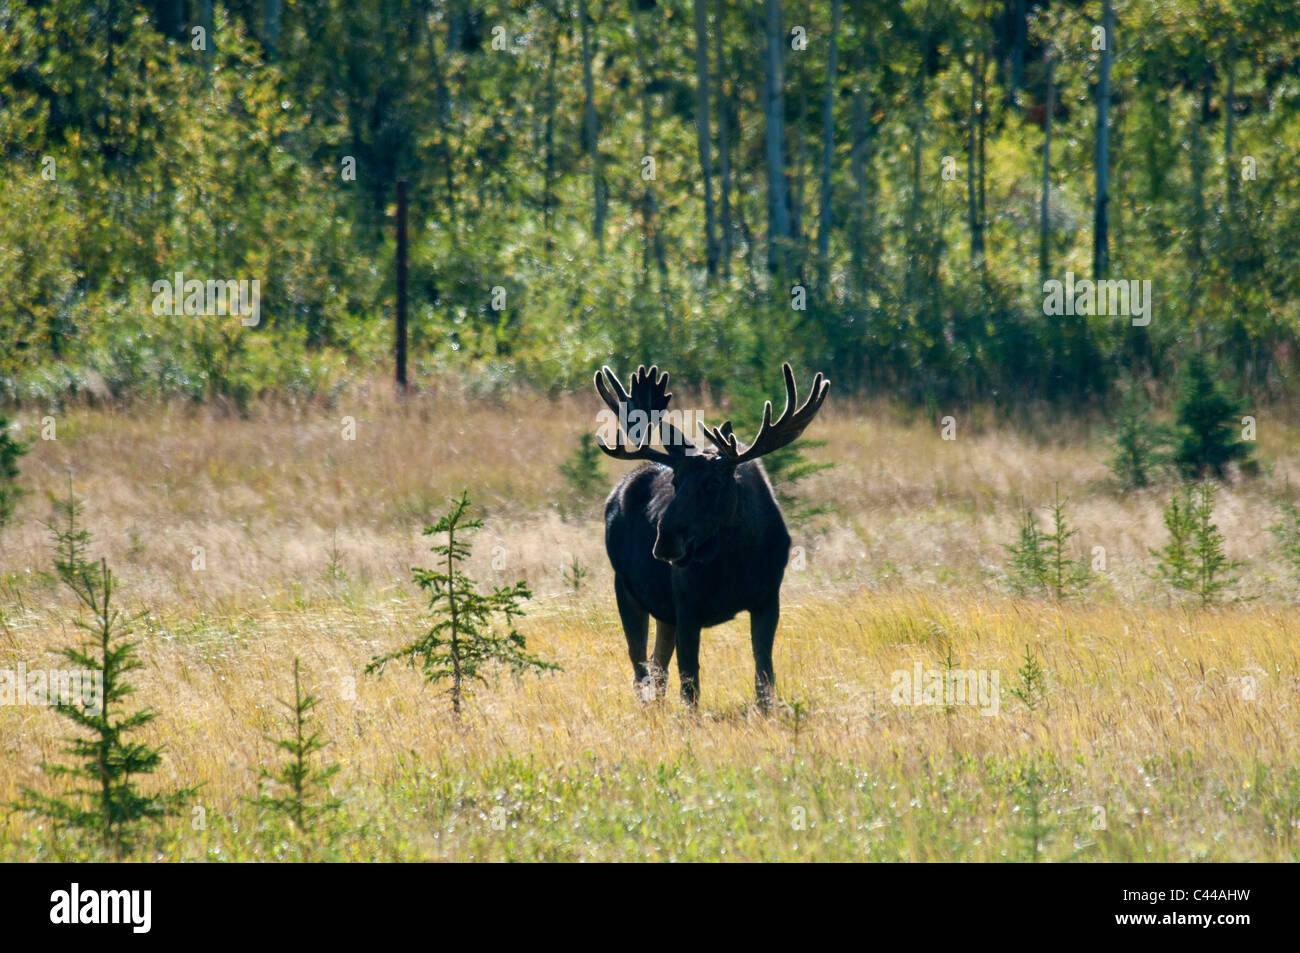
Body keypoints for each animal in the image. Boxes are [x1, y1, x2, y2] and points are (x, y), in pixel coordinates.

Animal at [593, 362, 830, 709]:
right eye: (675, 480)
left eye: (713, 484)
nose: (665, 542)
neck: (733, 563)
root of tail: (617, 490)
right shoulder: (687, 607)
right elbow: (690, 685)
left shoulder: (768, 600)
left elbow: (764, 676)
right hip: (625, 588)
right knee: (641, 669)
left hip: (663, 611)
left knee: (657, 667)